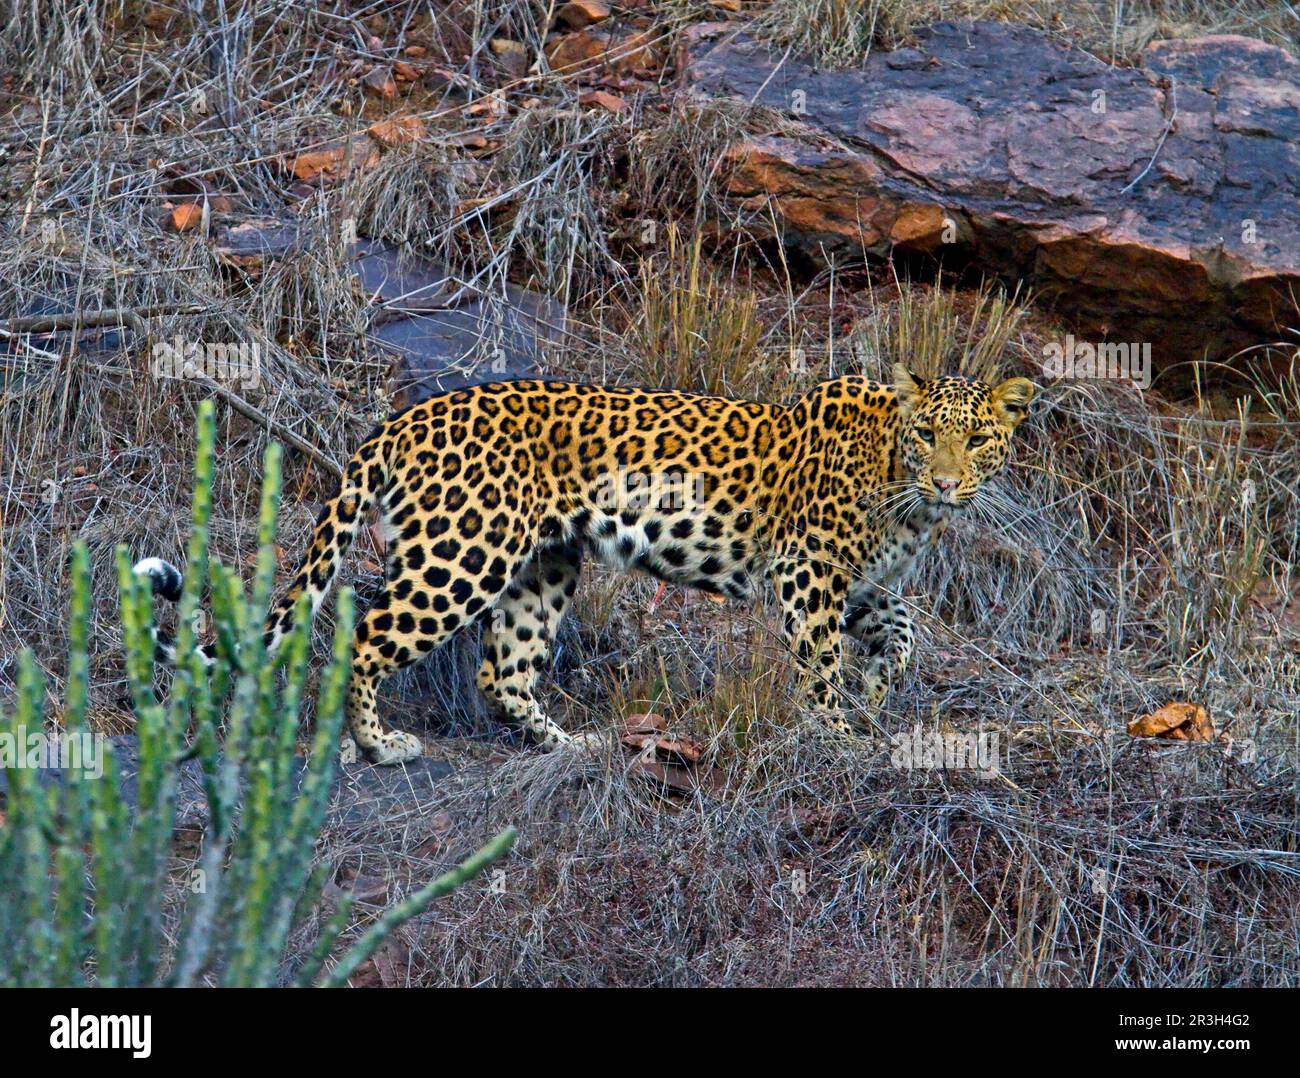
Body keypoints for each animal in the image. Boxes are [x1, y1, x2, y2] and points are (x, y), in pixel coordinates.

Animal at [135, 363, 1036, 764]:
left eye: (977, 440)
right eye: (929, 436)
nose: (947, 480)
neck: (902, 488)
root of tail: (402, 419)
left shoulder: (857, 582)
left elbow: (903, 625)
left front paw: (878, 684)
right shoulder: (807, 571)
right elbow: (817, 665)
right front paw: (841, 734)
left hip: (545, 564)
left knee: (501, 670)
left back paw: (565, 744)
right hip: (464, 554)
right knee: (365, 632)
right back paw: (379, 743)